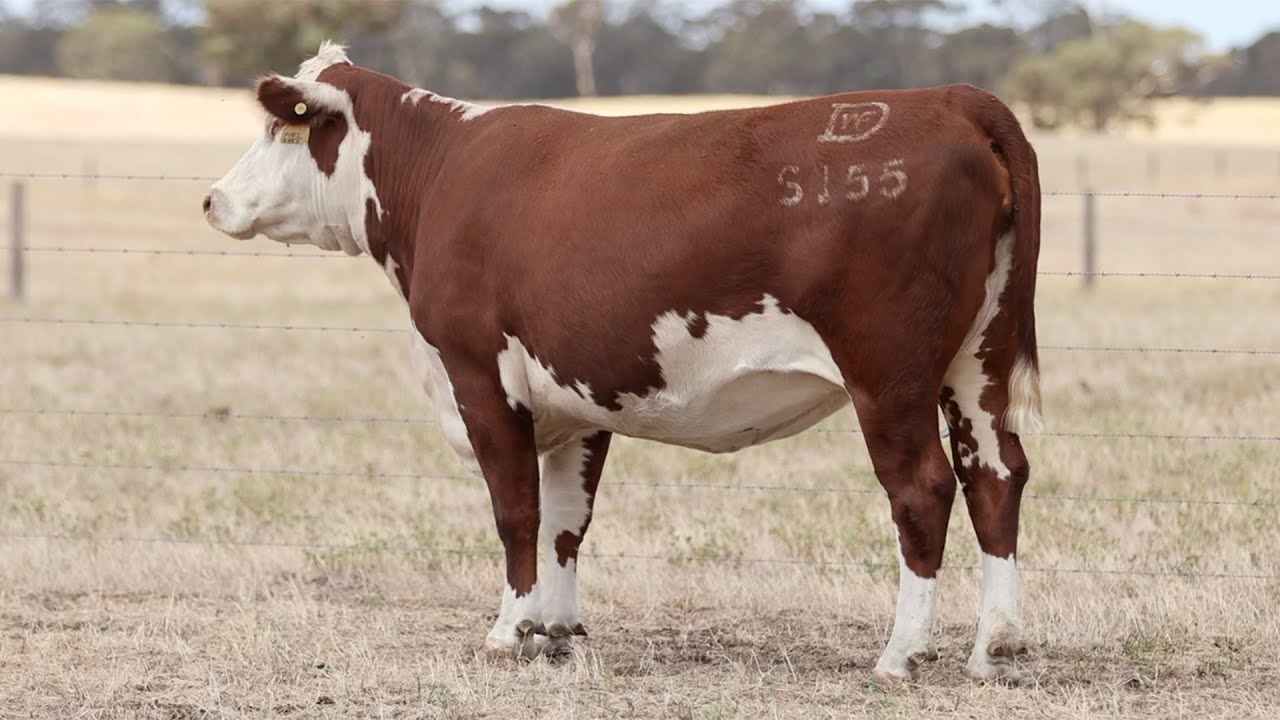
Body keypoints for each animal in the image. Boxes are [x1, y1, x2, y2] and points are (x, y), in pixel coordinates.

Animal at [202, 42, 1044, 684]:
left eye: (280, 128)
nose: (211, 200)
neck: (441, 172)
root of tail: (951, 98)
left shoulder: (479, 373)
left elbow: (517, 512)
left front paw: (508, 633)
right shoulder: (576, 395)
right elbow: (566, 522)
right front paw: (558, 632)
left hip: (887, 373)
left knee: (924, 489)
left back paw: (902, 654)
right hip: (979, 362)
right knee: (996, 474)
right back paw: (996, 646)